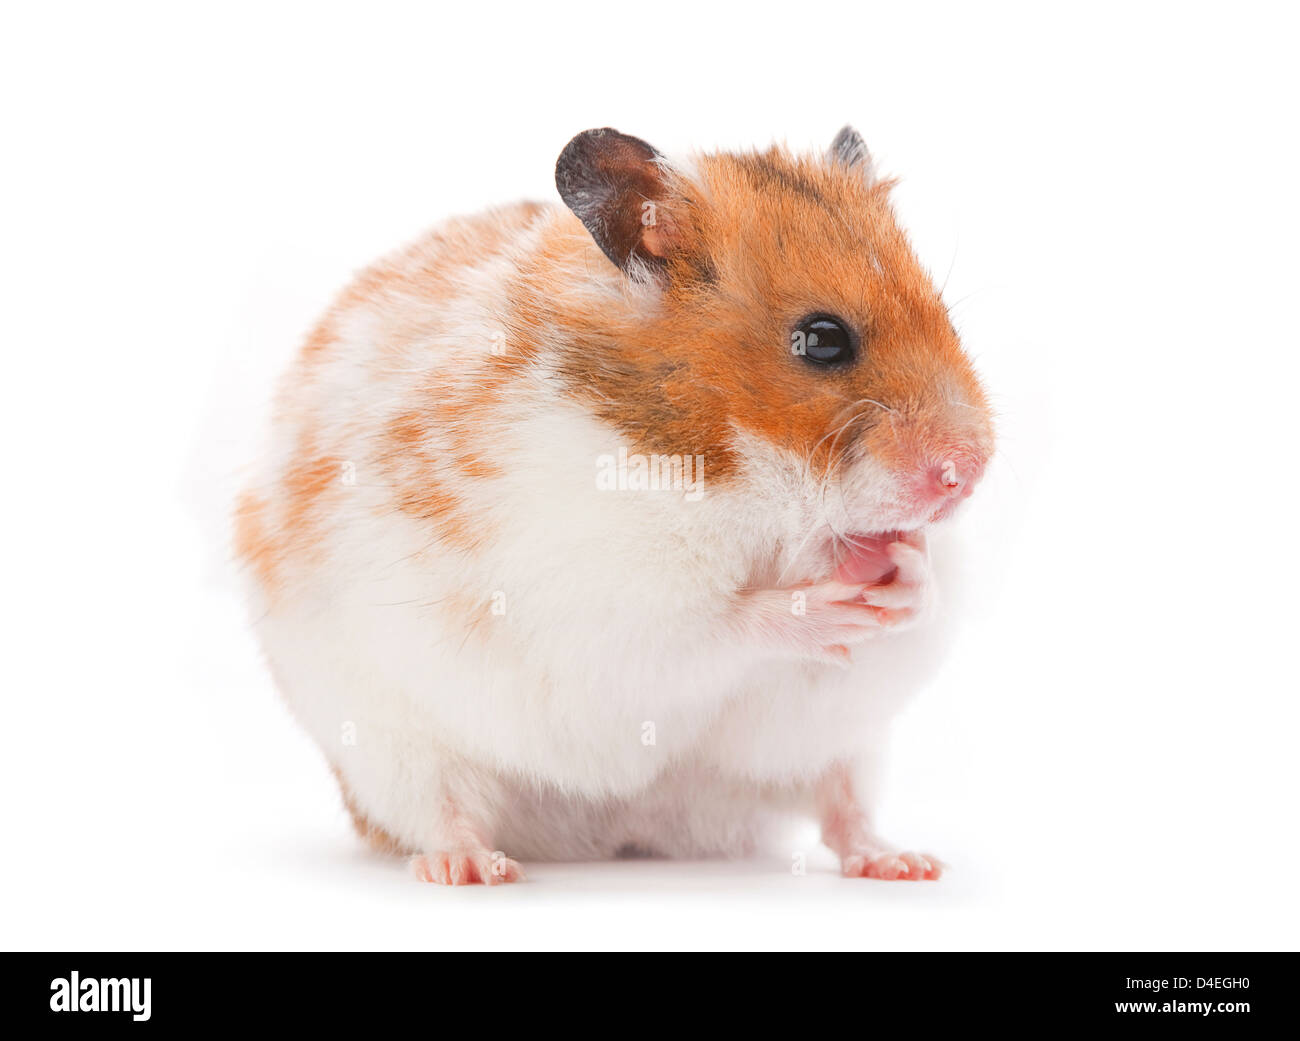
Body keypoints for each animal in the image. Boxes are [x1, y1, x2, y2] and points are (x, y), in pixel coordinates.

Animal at [235, 126, 994, 884]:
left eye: (948, 320)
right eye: (822, 339)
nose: (971, 470)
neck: (759, 489)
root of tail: (621, 832)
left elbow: (920, 604)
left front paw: (906, 569)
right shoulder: (608, 601)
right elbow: (722, 622)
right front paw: (826, 602)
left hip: (847, 745)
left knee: (843, 806)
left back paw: (904, 862)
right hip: (391, 745)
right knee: (438, 808)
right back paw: (472, 869)